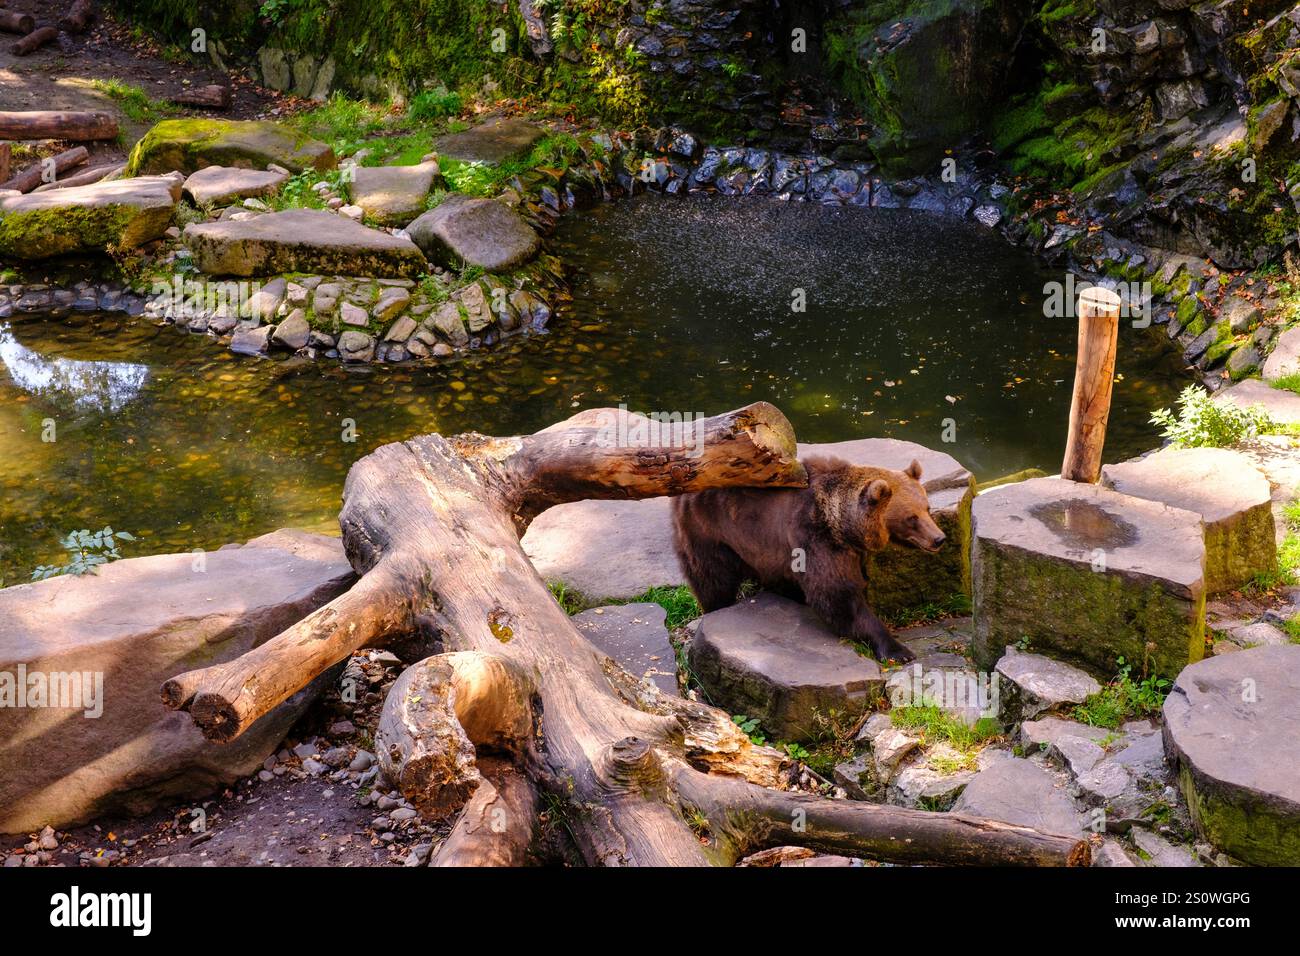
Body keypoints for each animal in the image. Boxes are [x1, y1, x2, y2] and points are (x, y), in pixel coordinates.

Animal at [671, 456, 946, 664]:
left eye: (927, 508)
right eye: (911, 518)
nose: (939, 538)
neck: (843, 526)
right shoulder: (814, 539)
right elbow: (838, 596)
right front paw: (898, 649)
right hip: (709, 531)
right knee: (712, 578)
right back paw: (717, 606)